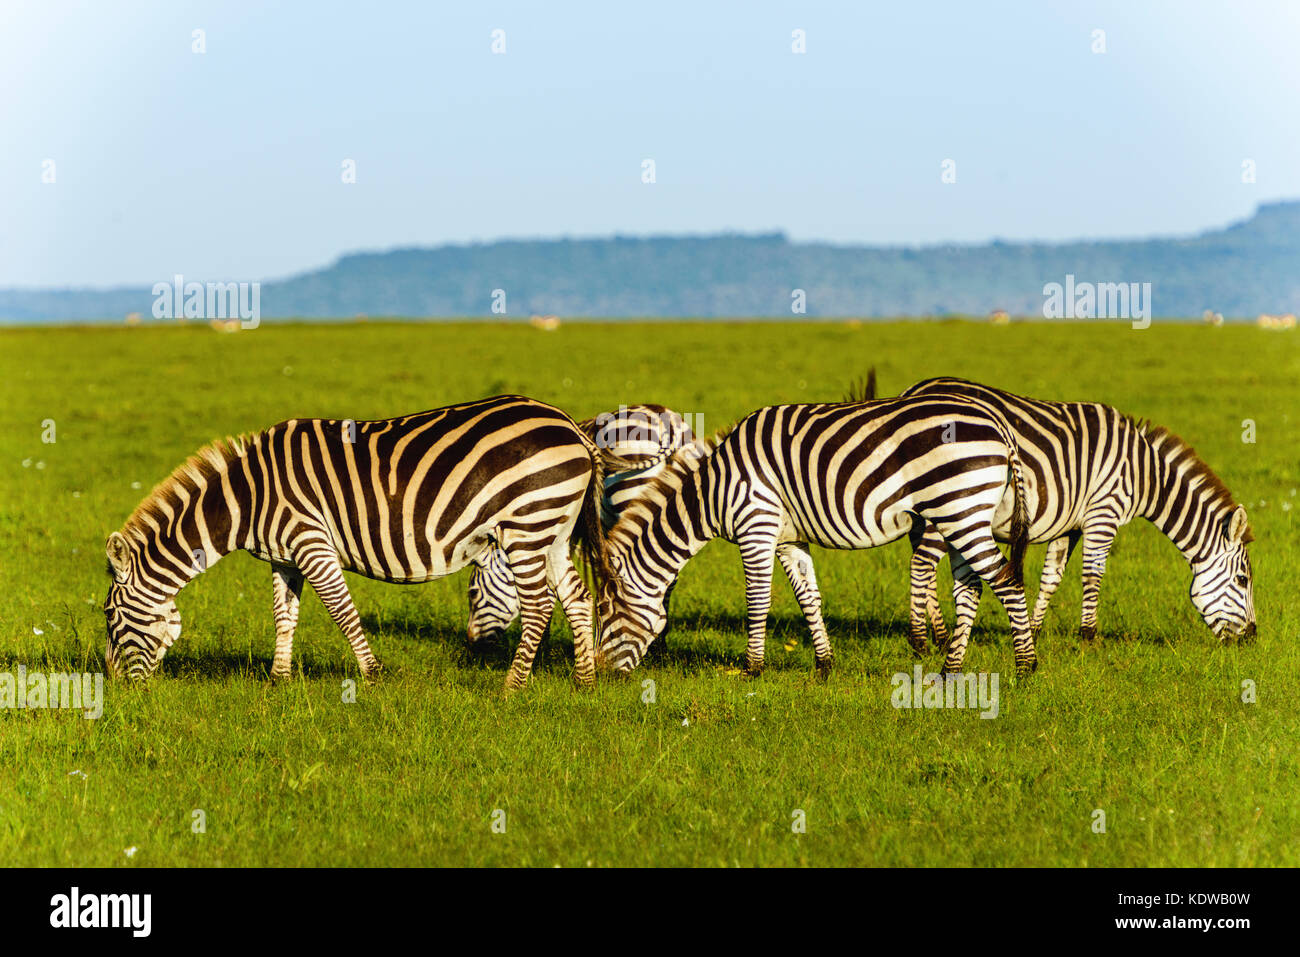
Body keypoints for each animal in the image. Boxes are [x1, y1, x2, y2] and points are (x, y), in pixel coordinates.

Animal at [102, 395, 611, 690]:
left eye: (109, 616)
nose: (114, 683)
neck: (248, 497)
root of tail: (569, 424)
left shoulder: (311, 542)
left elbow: (342, 614)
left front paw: (373, 677)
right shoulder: (284, 558)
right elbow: (284, 617)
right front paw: (279, 681)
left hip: (528, 523)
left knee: (540, 606)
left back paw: (512, 687)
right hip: (553, 530)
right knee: (578, 598)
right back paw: (584, 680)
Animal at [594, 394, 1042, 678]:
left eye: (606, 615)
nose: (600, 677)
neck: (714, 490)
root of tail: (998, 425)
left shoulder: (756, 526)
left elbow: (757, 601)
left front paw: (751, 669)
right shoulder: (788, 538)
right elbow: (808, 596)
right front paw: (824, 665)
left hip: (958, 507)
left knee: (1006, 580)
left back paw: (1025, 667)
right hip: (962, 514)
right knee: (971, 588)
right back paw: (951, 670)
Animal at [881, 377, 1256, 660]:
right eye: (1242, 580)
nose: (1252, 639)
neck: (1144, 475)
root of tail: (912, 391)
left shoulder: (1070, 526)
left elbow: (1052, 577)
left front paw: (1032, 631)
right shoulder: (1103, 513)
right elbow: (1093, 575)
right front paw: (1089, 638)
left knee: (924, 563)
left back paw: (940, 634)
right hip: (949, 502)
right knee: (923, 564)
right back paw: (927, 641)